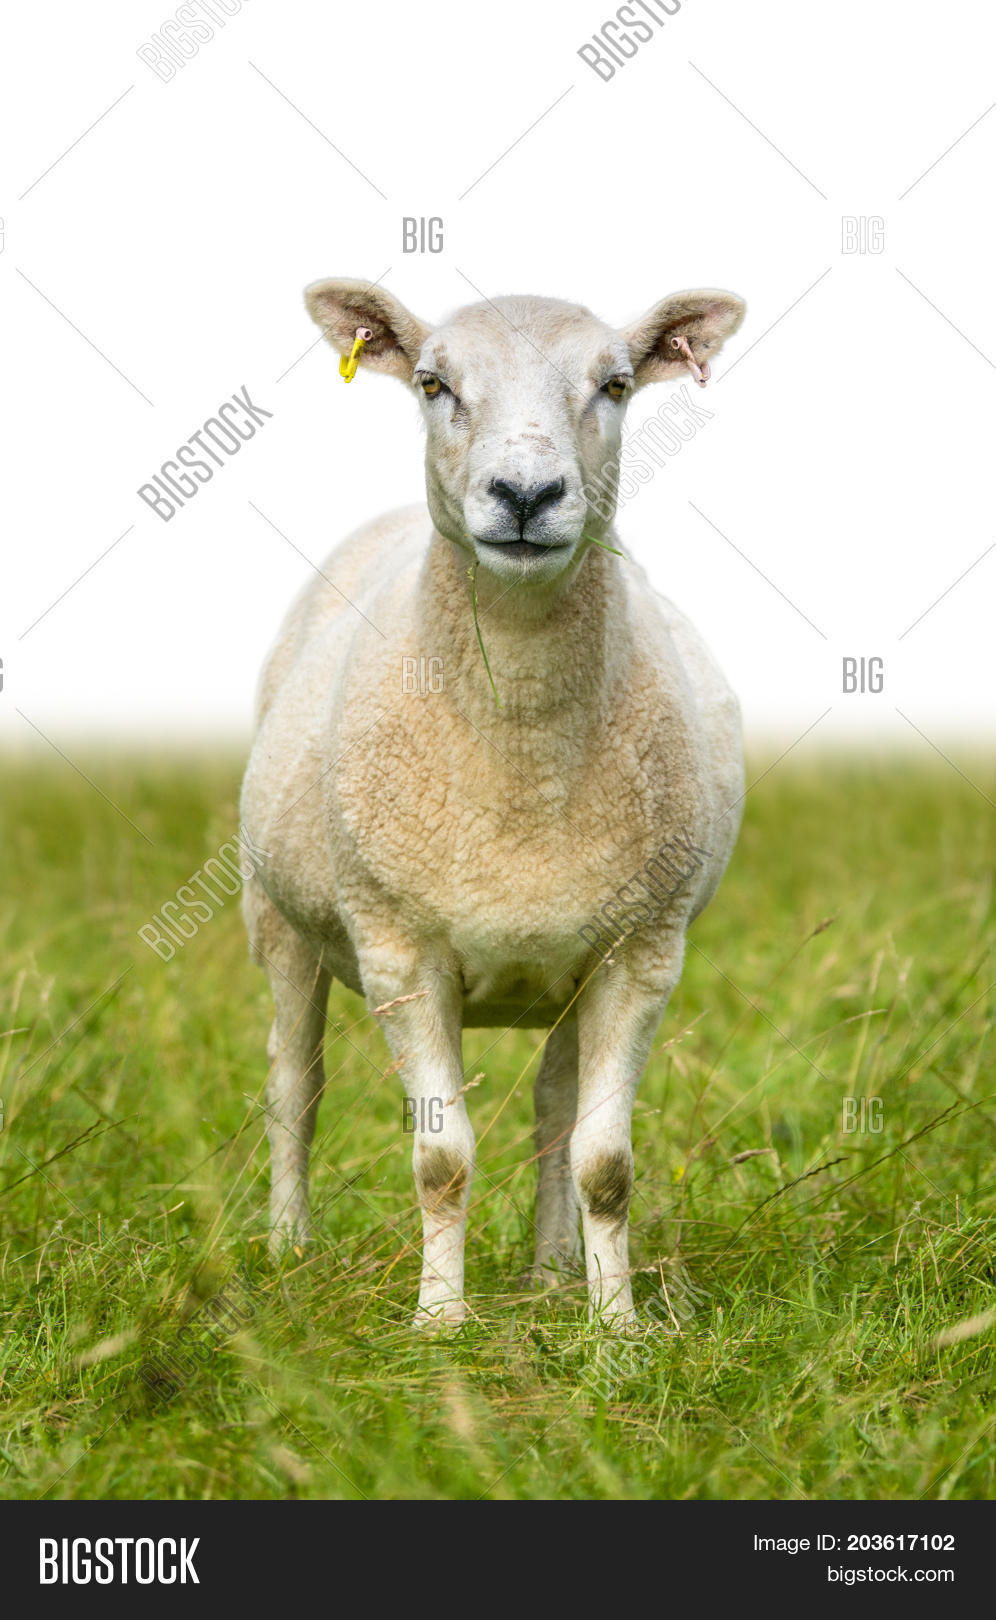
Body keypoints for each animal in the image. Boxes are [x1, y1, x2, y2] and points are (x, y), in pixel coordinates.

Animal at [240, 279, 746, 1327]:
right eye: (434, 384)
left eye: (617, 384)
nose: (524, 497)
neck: (520, 759)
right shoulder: (399, 949)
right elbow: (441, 1159)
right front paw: (439, 1323)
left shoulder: (640, 953)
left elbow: (604, 1161)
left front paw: (615, 1328)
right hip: (279, 915)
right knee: (293, 1080)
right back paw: (287, 1248)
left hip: (568, 965)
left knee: (555, 1106)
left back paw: (551, 1274)